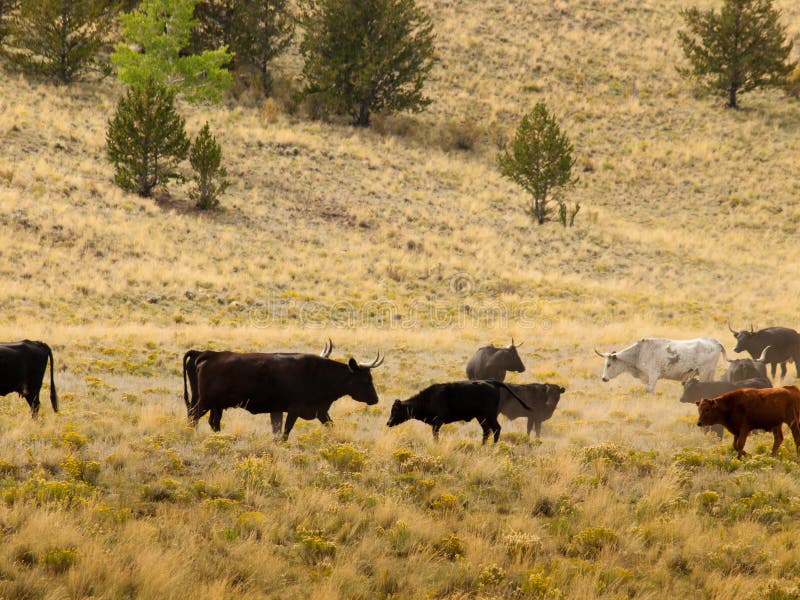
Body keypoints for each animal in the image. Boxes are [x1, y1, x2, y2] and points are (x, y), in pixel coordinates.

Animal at [190, 349, 383, 440]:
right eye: (366, 379)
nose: (375, 399)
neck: (319, 374)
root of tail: (210, 354)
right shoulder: (294, 410)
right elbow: (285, 431)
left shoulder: (319, 411)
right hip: (206, 402)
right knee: (193, 416)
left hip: (217, 406)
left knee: (214, 422)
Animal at [386, 380, 531, 444]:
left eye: (395, 410)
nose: (388, 423)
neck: (429, 398)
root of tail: (492, 382)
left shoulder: (438, 420)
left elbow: (435, 434)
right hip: (481, 417)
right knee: (486, 430)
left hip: (489, 415)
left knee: (496, 429)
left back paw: (493, 447)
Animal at [595, 337, 723, 393]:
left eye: (609, 364)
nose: (603, 378)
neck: (639, 353)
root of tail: (714, 341)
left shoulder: (653, 375)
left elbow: (649, 389)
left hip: (705, 372)